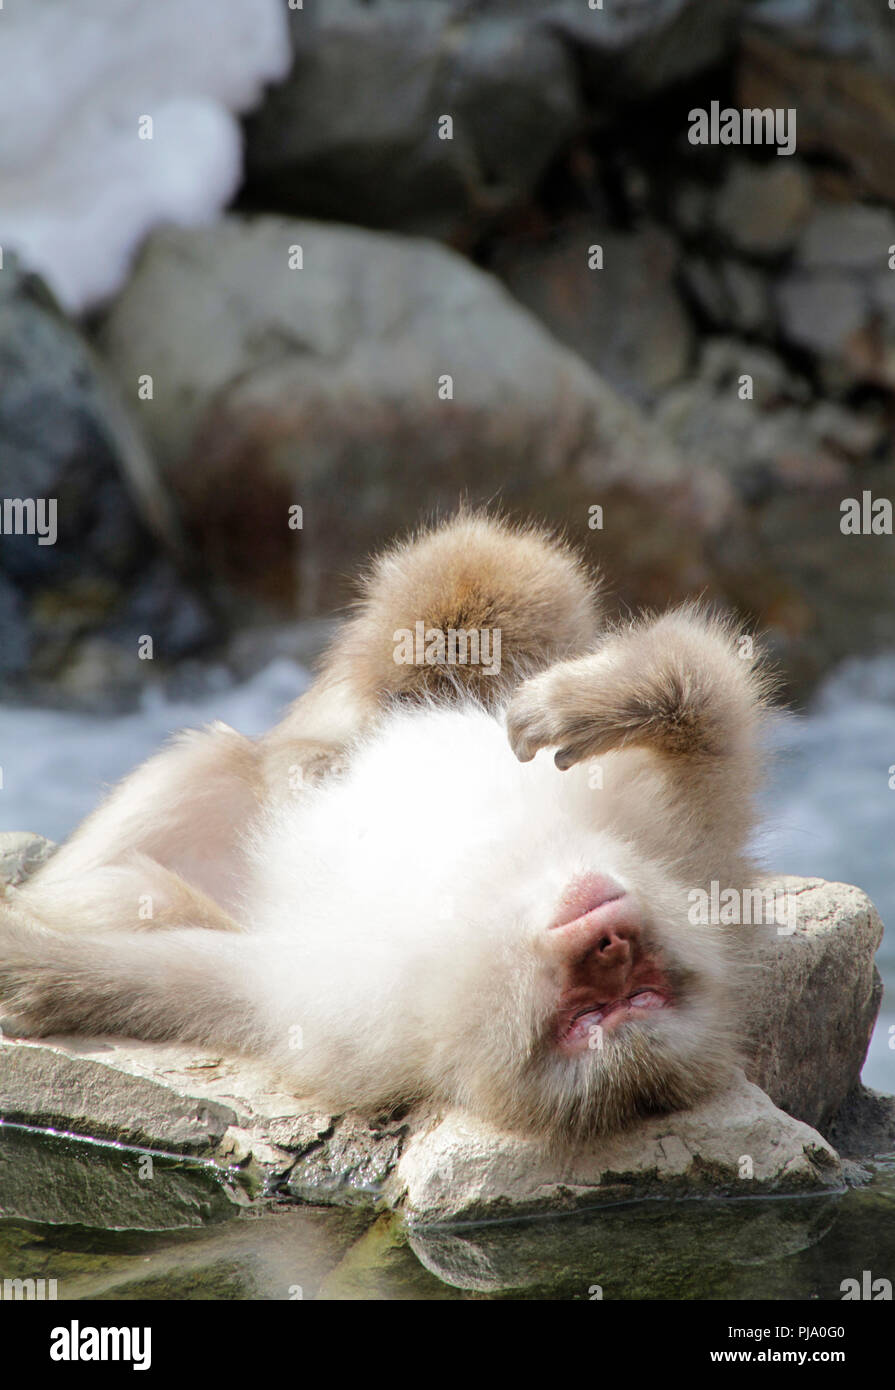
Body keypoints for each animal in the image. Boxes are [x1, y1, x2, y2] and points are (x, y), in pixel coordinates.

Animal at [0, 511, 773, 1141]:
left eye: (623, 1000)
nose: (611, 945)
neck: (499, 883)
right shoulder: (677, 844)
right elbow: (712, 708)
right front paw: (585, 704)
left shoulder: (346, 1012)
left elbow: (188, 981)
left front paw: (34, 968)